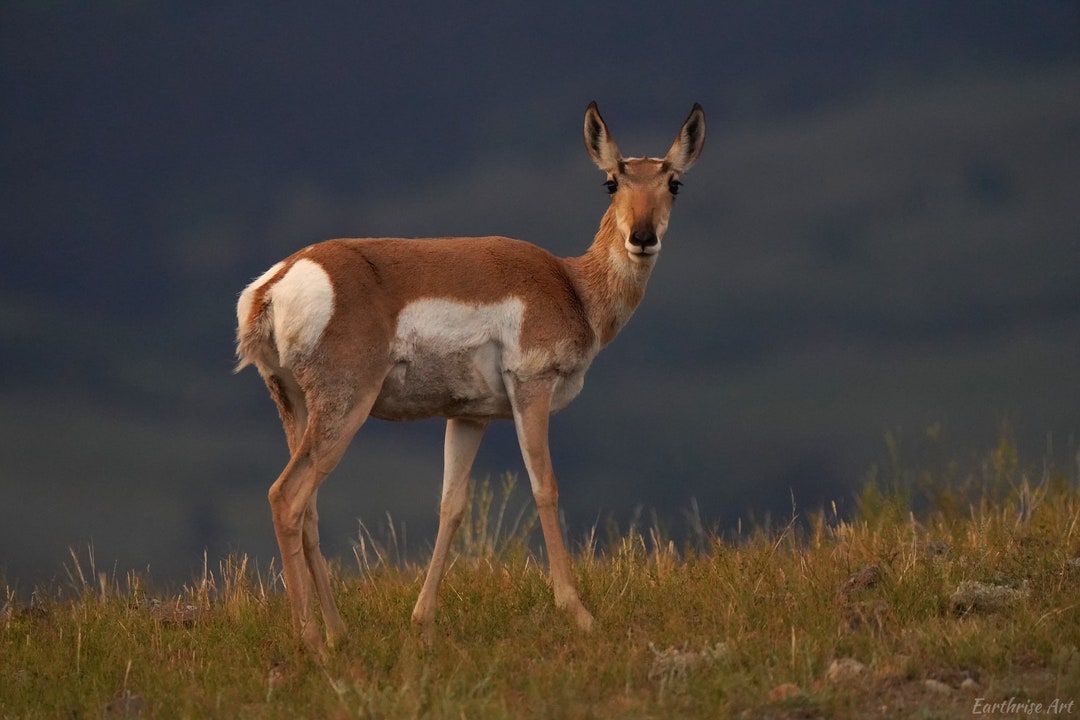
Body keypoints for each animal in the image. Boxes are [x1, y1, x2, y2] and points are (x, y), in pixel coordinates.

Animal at [235, 102, 705, 652]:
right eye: (612, 181)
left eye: (674, 182)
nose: (643, 238)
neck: (571, 284)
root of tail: (277, 282)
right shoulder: (531, 389)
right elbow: (545, 487)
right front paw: (579, 613)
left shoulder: (468, 417)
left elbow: (452, 505)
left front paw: (422, 619)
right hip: (344, 408)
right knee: (286, 497)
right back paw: (311, 640)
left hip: (297, 407)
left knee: (307, 508)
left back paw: (339, 633)